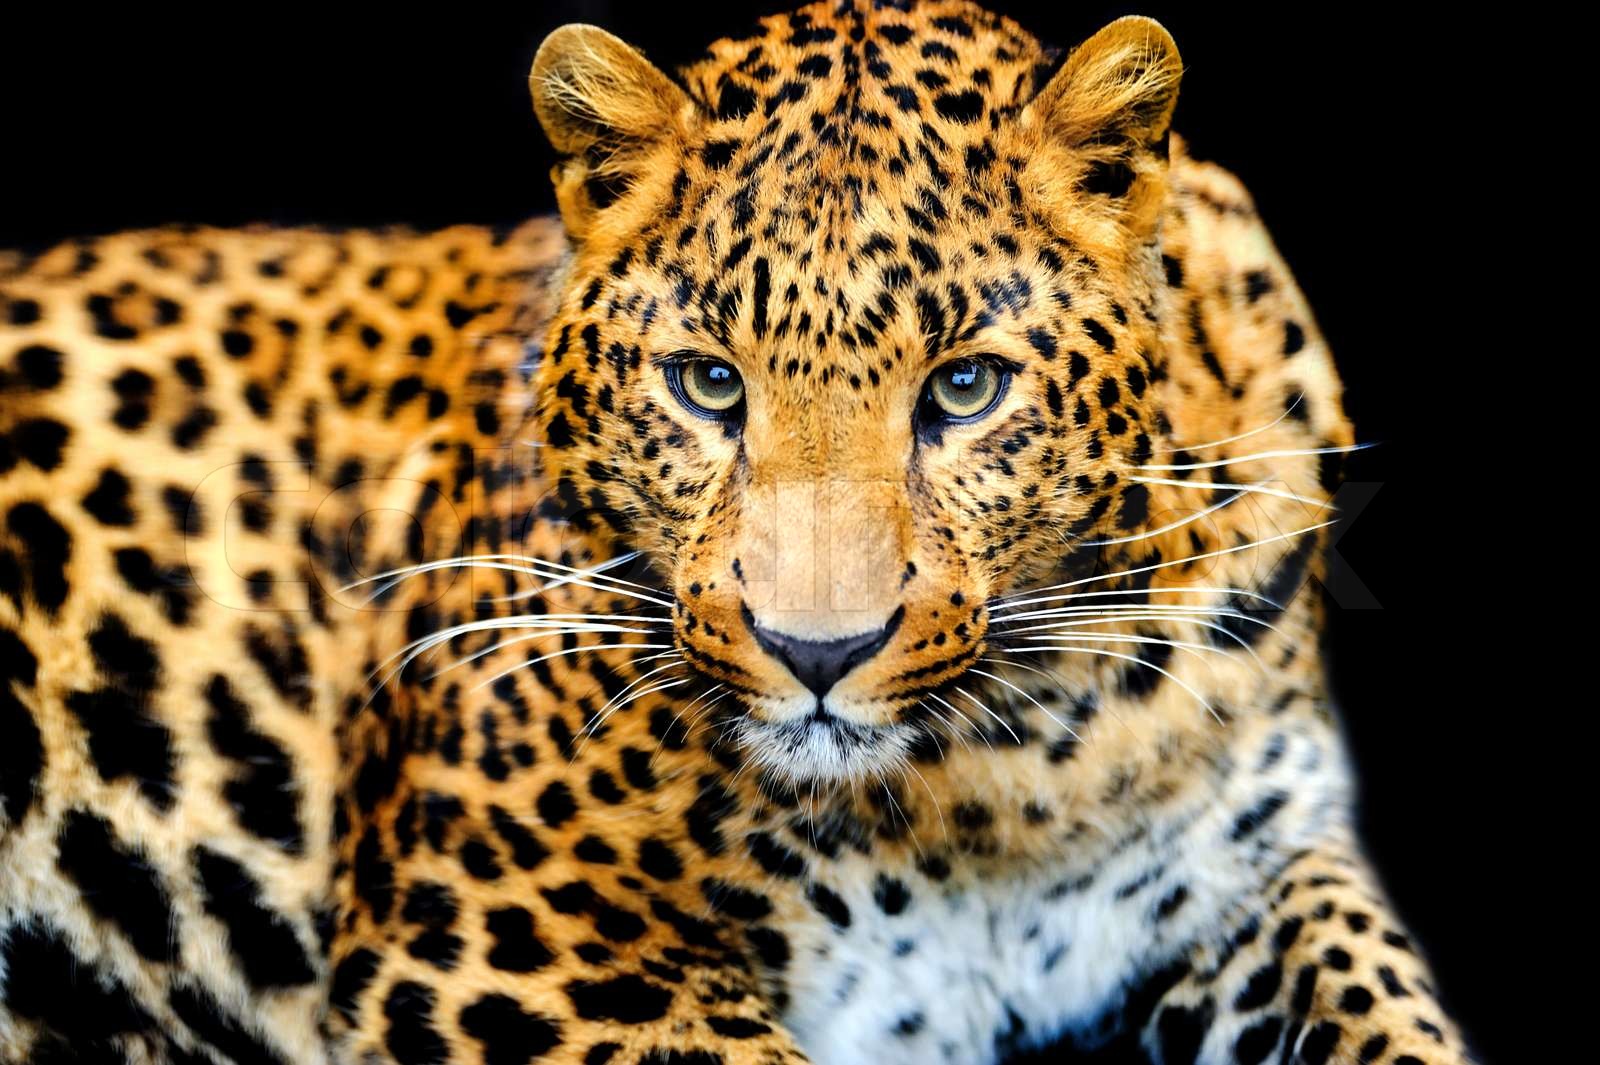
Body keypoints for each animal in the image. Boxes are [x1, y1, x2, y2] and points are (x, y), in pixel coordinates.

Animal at [0, 3, 1472, 1064]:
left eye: (964, 388)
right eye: (710, 384)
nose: (816, 653)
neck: (1004, 777)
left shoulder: (1251, 867)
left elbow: (1384, 1005)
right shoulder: (508, 937)